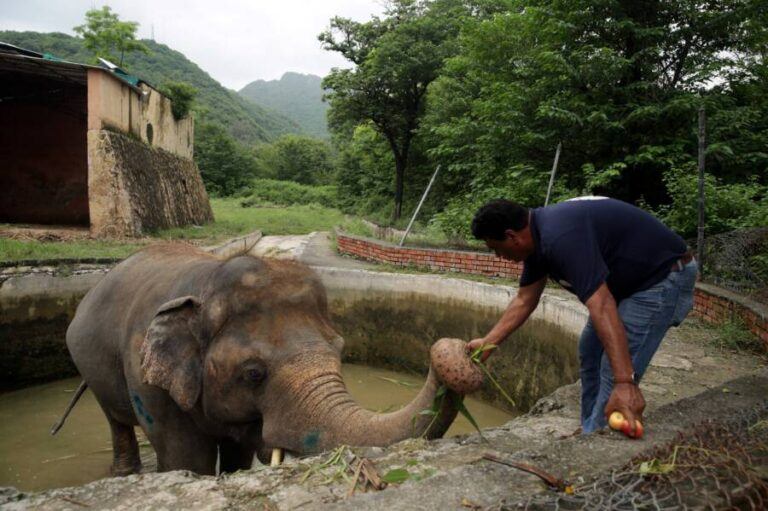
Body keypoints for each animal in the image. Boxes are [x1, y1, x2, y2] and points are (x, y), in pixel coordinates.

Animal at [60, 244, 461, 476]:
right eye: (253, 373)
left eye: (340, 350)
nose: (454, 348)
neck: (207, 280)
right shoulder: (148, 381)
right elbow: (187, 459)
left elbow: (238, 454)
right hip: (88, 358)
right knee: (116, 420)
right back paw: (125, 475)